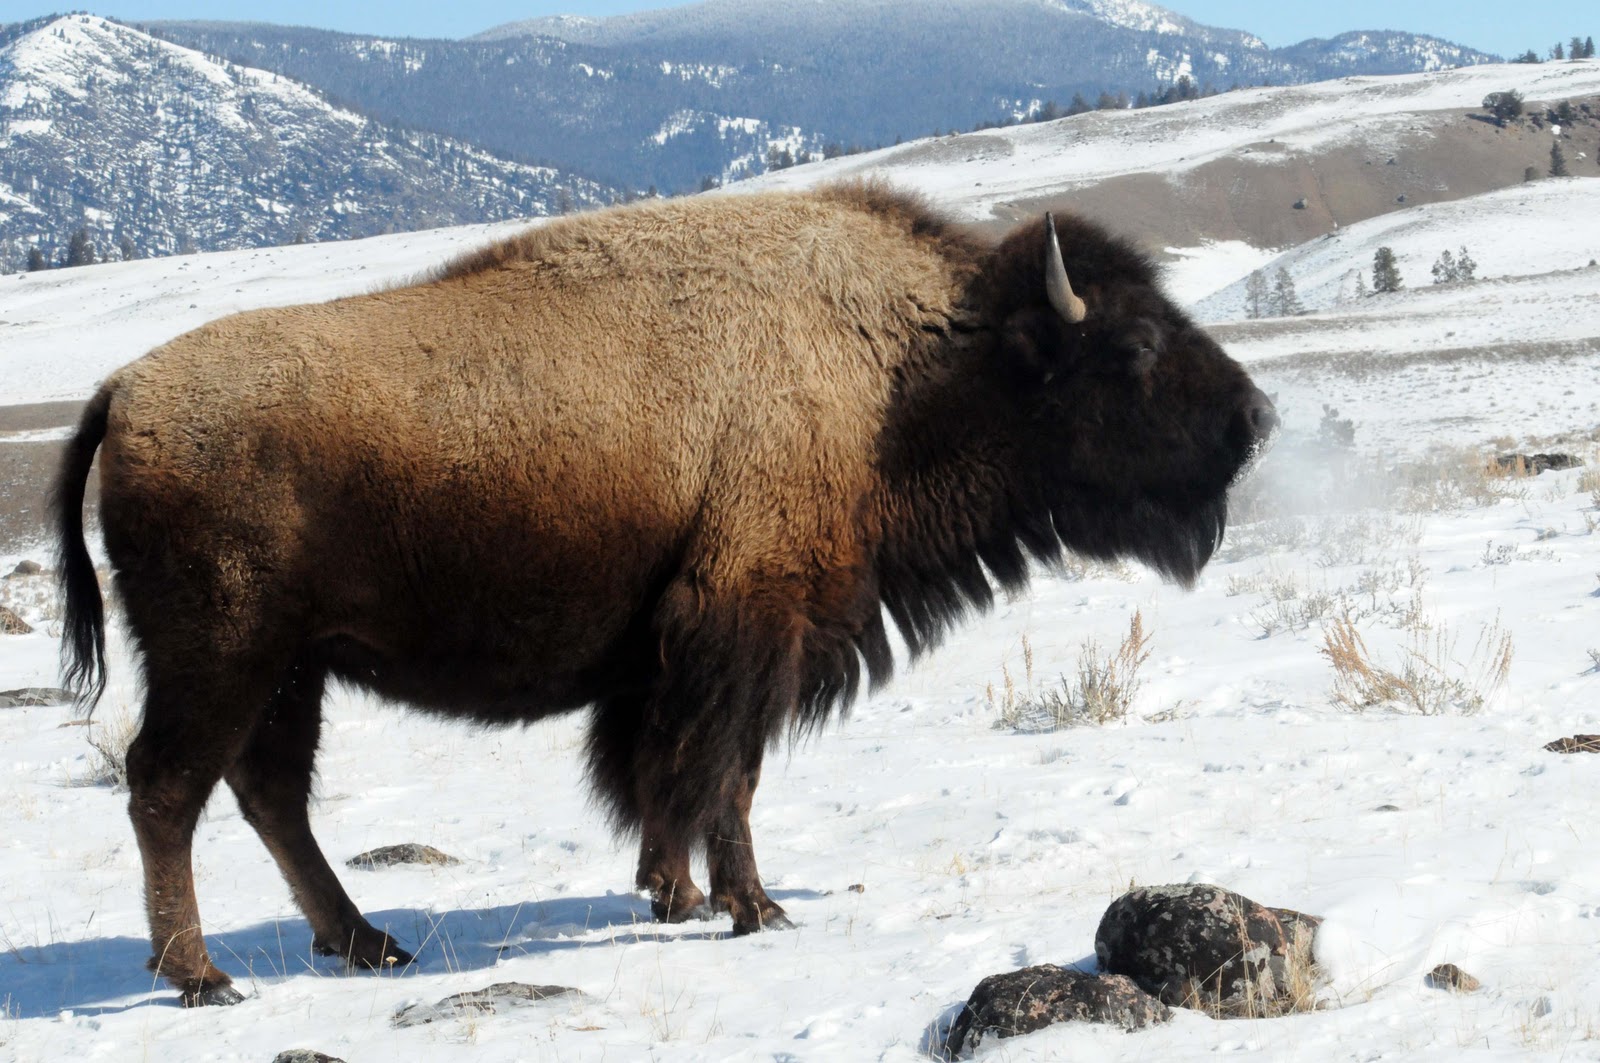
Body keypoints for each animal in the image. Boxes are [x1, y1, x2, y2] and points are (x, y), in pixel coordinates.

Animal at [54, 182, 1275, 1006]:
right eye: (1134, 343)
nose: (1256, 418)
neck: (905, 371)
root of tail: (123, 390)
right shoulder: (749, 626)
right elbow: (723, 775)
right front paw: (752, 907)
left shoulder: (670, 658)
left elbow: (664, 776)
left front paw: (674, 895)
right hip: (226, 656)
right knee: (168, 788)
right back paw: (202, 975)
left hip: (290, 671)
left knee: (269, 795)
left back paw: (365, 944)